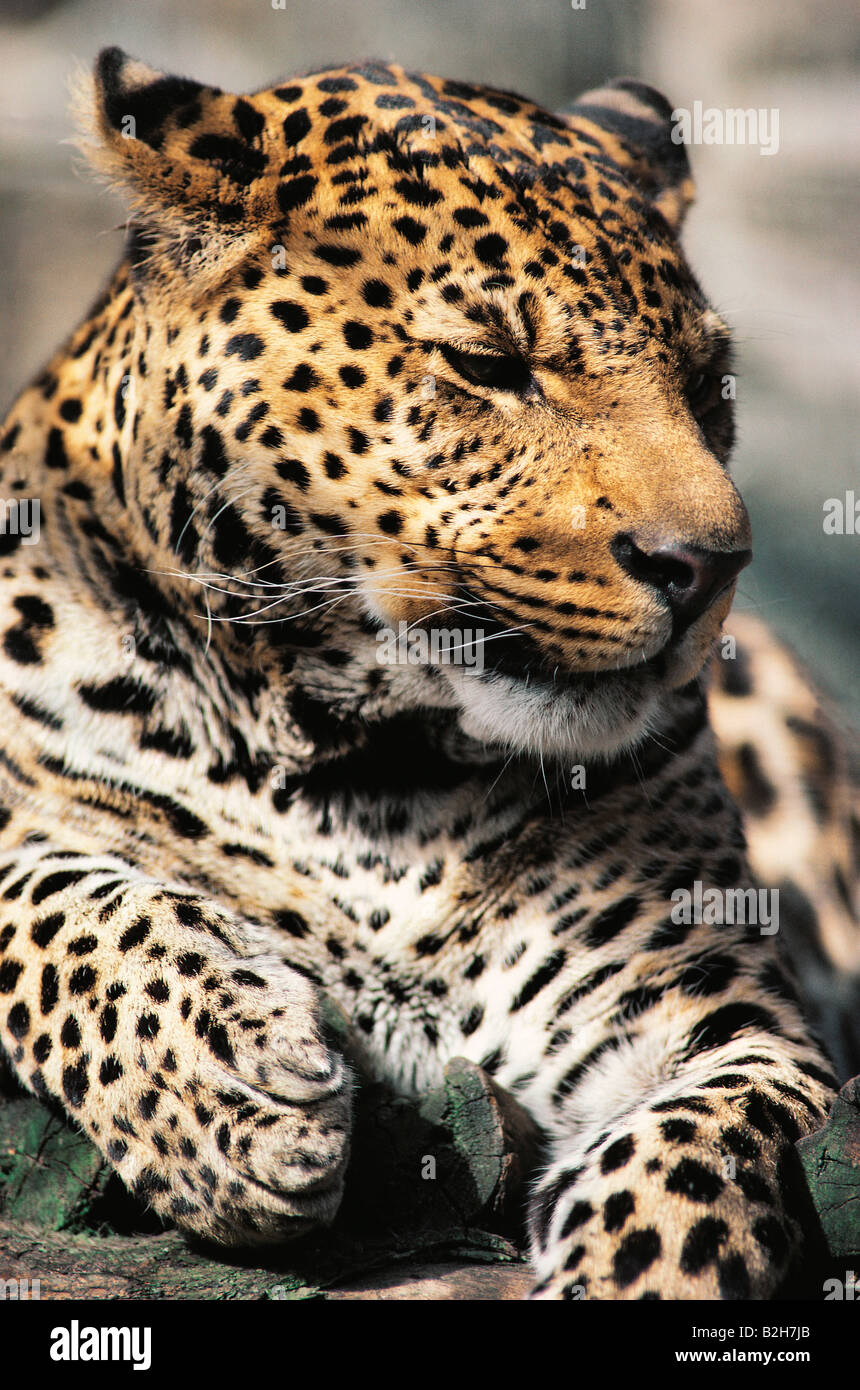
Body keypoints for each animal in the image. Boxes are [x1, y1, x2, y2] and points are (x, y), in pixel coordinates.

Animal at [0, 47, 857, 1301]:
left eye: (707, 385)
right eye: (484, 366)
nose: (706, 567)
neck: (363, 767)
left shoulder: (715, 1006)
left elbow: (710, 1139)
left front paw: (630, 1268)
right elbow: (62, 898)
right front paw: (230, 1086)